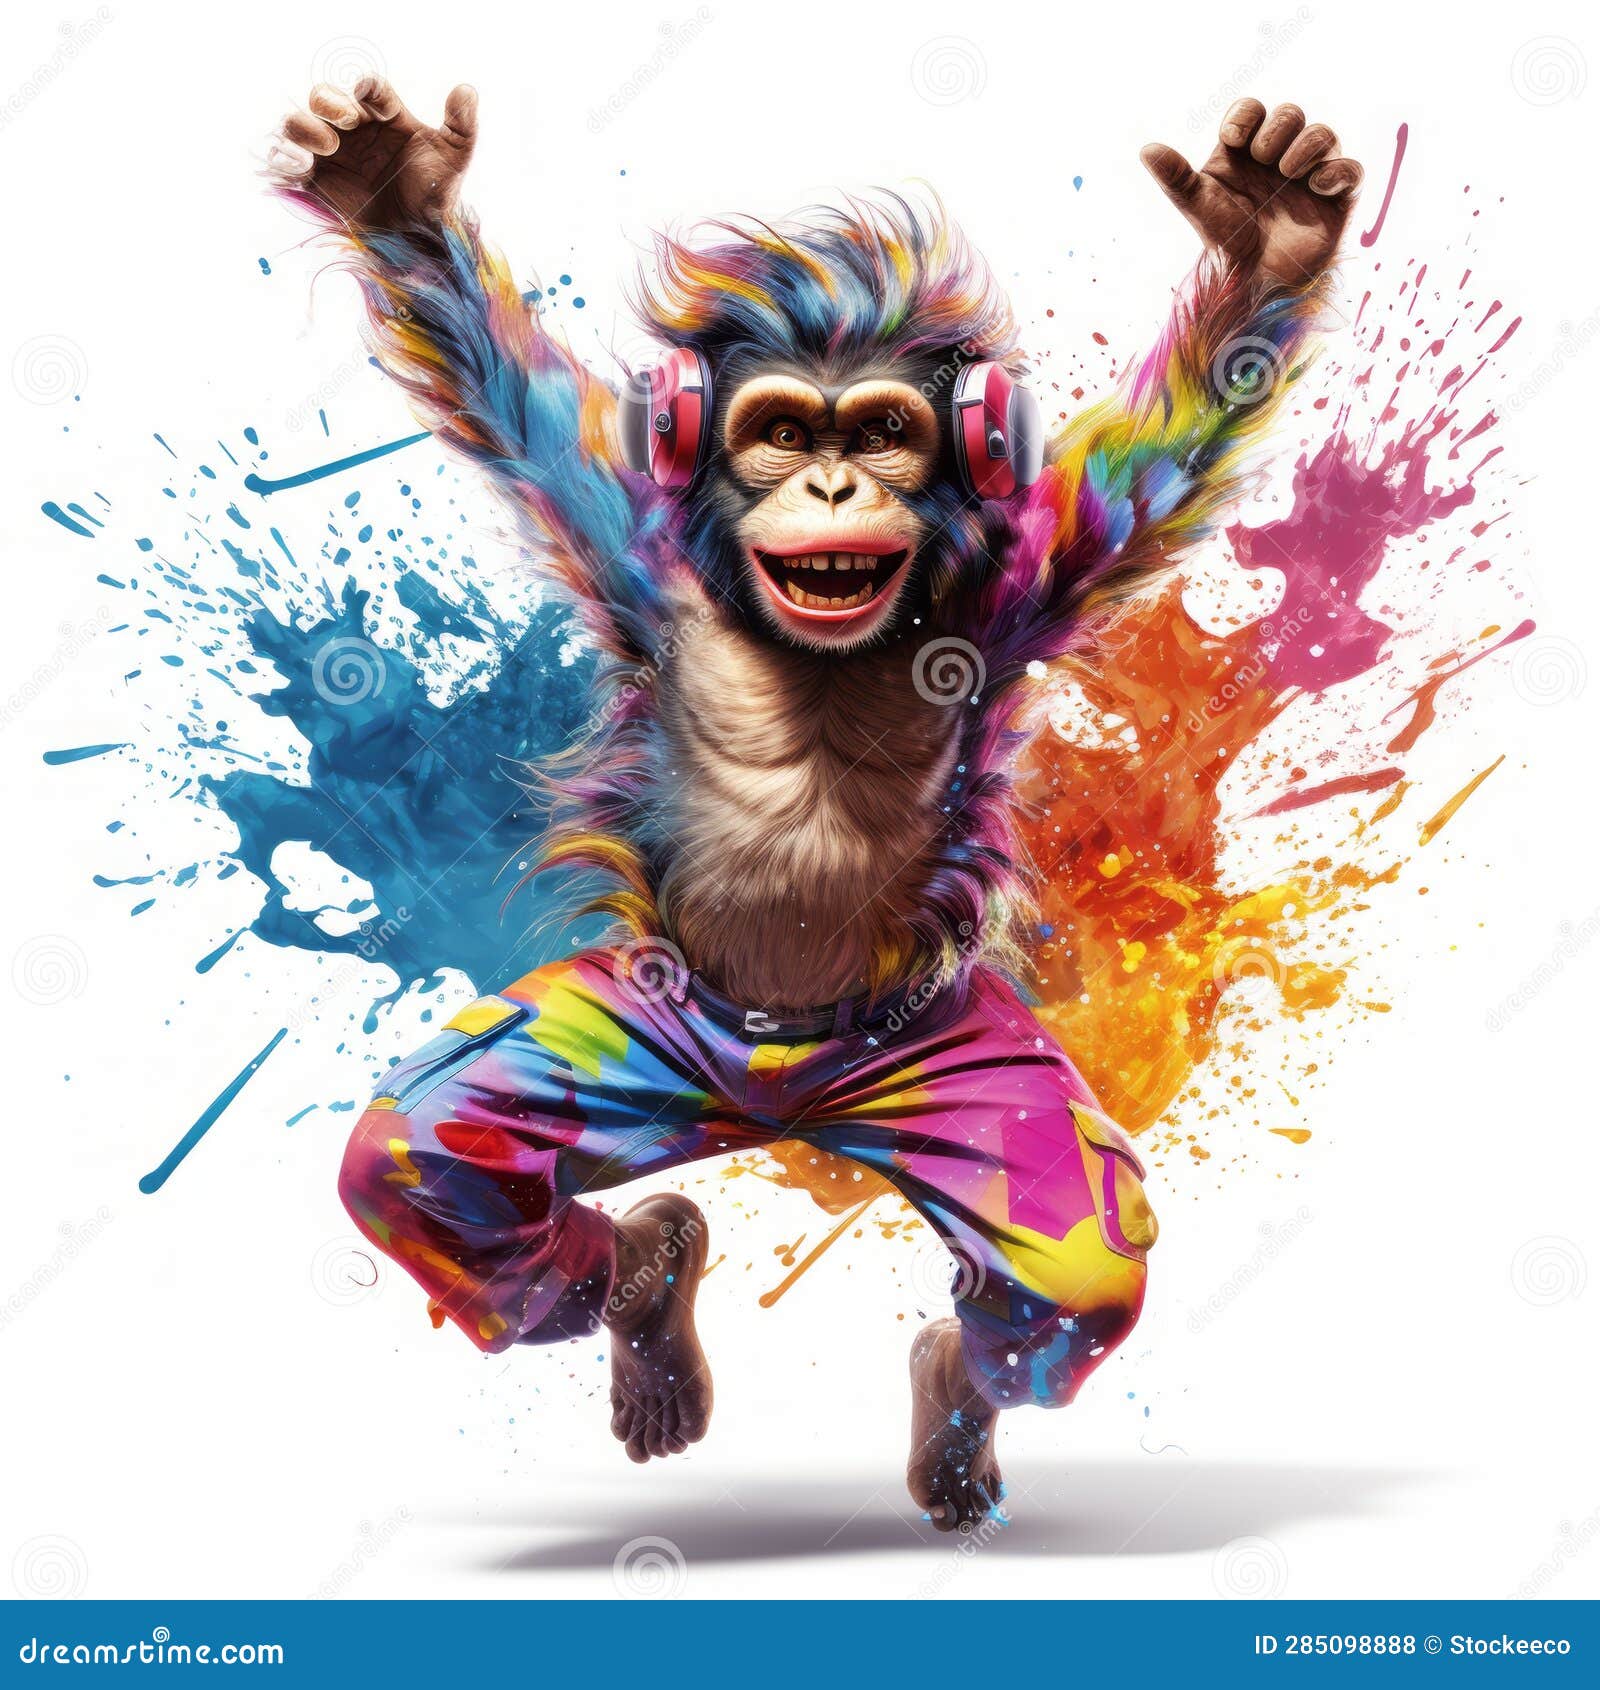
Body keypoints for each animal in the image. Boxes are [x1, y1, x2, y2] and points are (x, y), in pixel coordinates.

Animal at [267, 77, 1361, 1531]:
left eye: (884, 432)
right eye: (783, 429)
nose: (831, 484)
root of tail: (776, 1100)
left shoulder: (1030, 573)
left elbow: (1172, 444)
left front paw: (1275, 230)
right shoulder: (626, 543)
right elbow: (498, 386)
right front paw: (389, 190)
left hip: (942, 1063)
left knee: (1065, 1281)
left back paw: (948, 1402)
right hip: (642, 1032)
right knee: (421, 1163)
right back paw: (649, 1285)